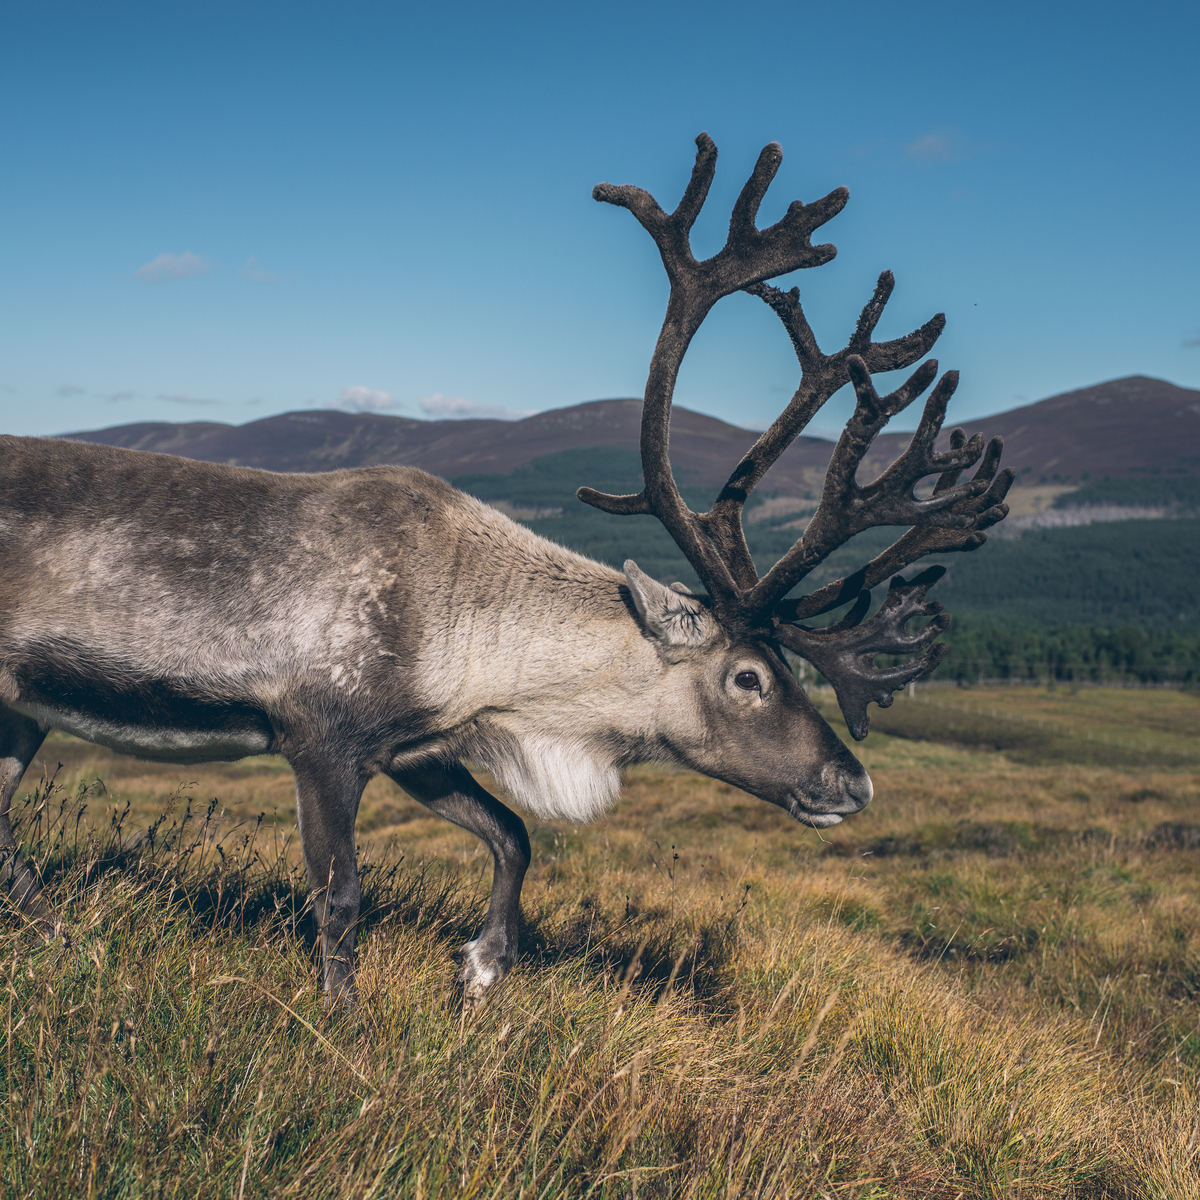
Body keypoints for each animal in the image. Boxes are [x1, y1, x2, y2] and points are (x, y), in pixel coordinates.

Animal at [0, 134, 1012, 1007]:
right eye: (750, 677)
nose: (854, 784)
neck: (482, 653)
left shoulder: (417, 751)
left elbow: (516, 835)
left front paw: (482, 968)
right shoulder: (319, 738)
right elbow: (341, 895)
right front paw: (345, 1024)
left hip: (19, 712)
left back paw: (66, 942)